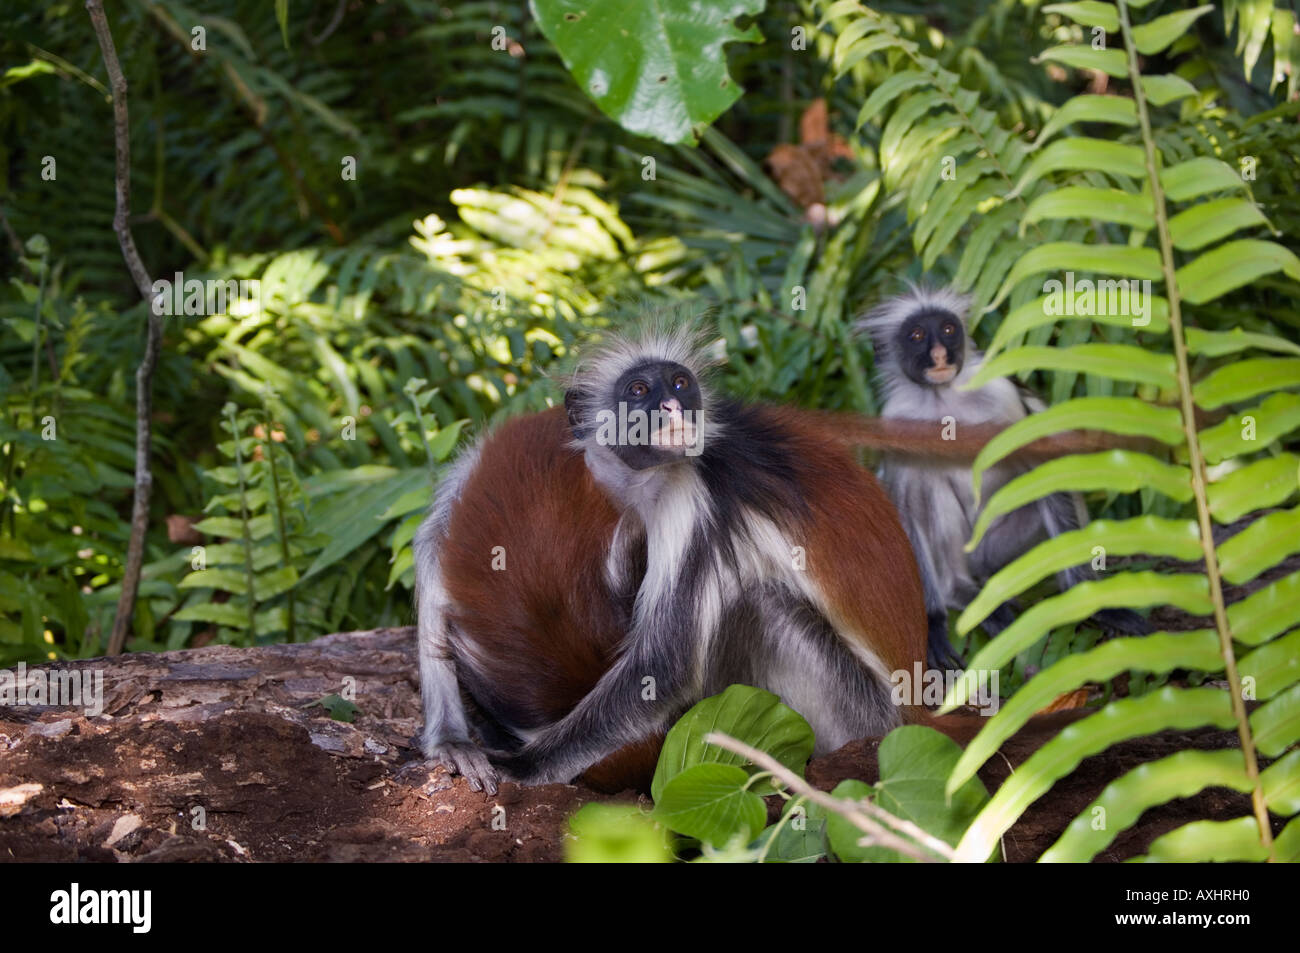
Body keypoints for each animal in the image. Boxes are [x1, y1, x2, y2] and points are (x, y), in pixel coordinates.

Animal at [859, 285, 1150, 671]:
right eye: (917, 335)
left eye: (948, 330)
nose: (939, 354)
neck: (943, 402)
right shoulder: (897, 423)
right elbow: (902, 507)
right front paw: (931, 623)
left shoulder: (1002, 399)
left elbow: (1043, 472)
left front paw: (1091, 602)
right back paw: (960, 591)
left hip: (995, 551)